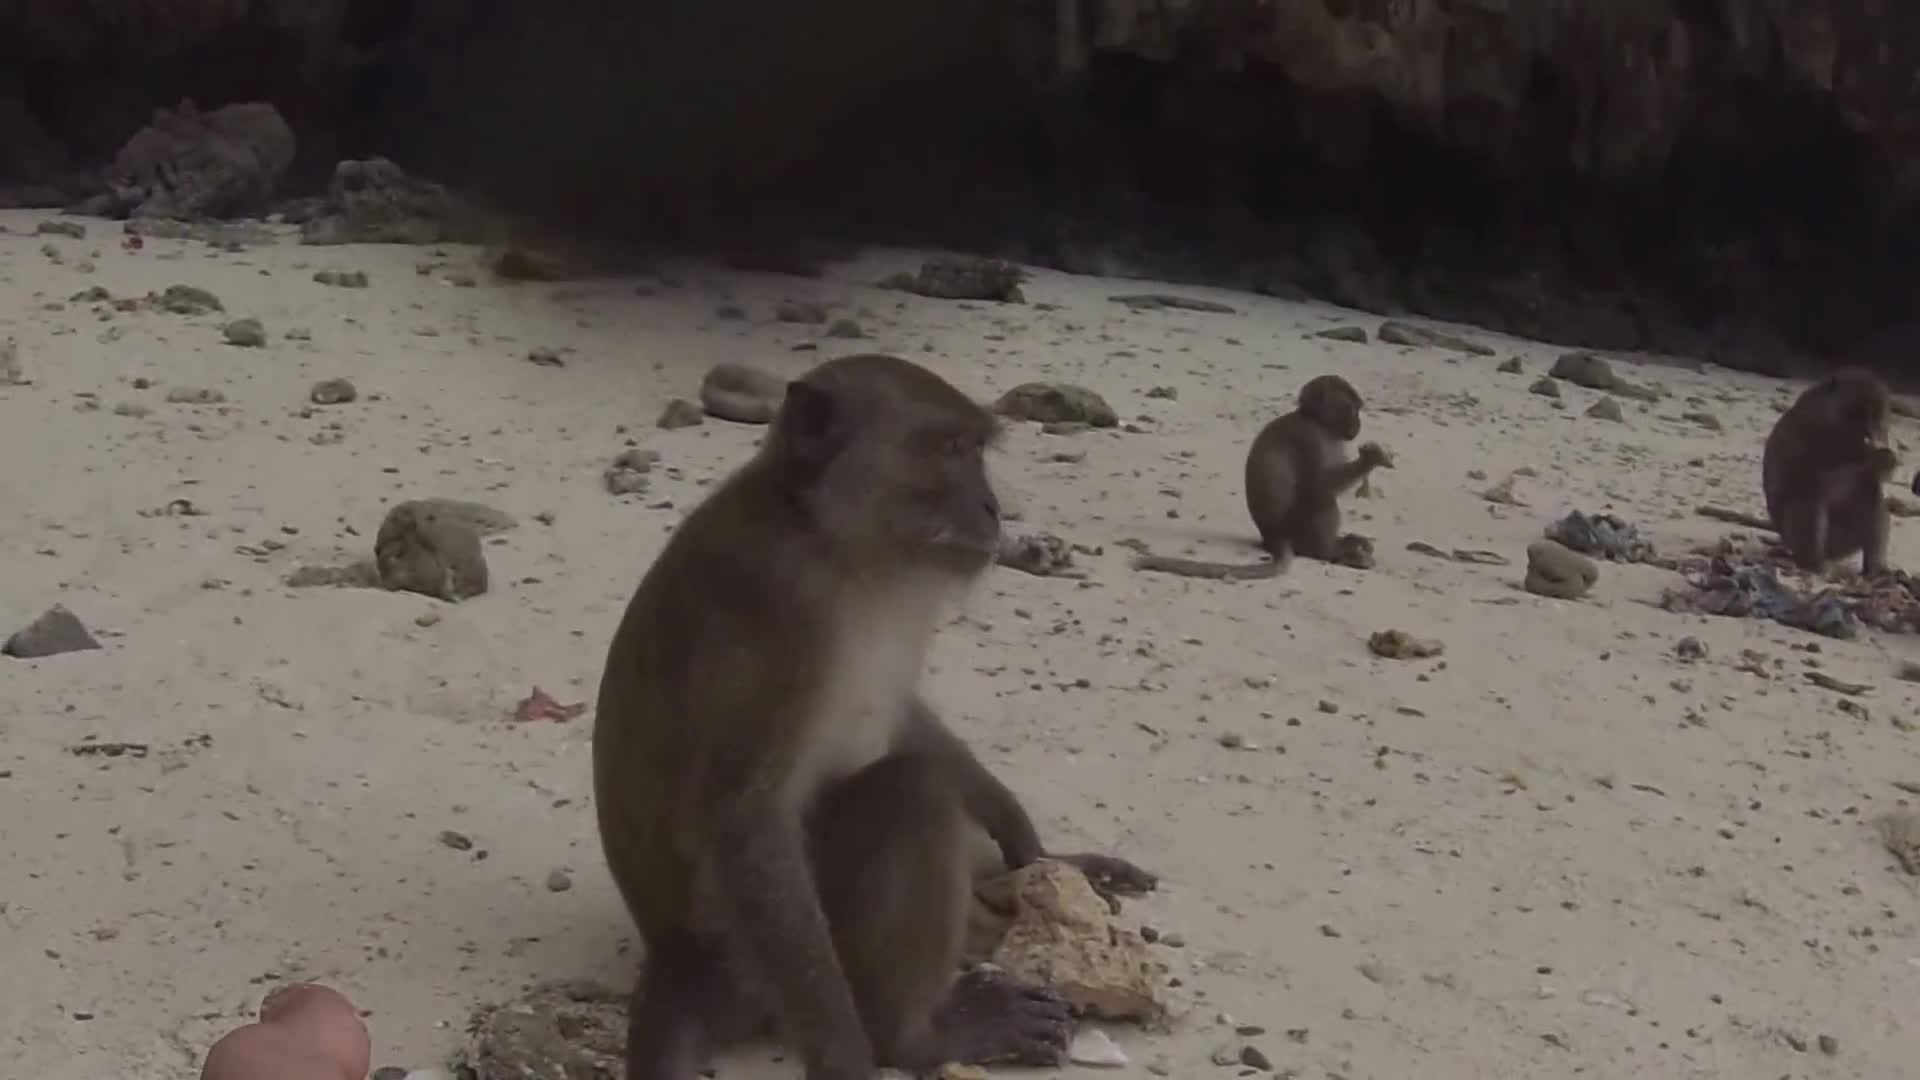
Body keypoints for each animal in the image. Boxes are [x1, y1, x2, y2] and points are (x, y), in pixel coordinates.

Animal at [594, 352, 1158, 1080]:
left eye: (975, 449)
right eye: (948, 449)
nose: (992, 507)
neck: (839, 546)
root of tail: (675, 958)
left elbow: (902, 715)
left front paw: (1033, 848)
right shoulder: (782, 607)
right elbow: (745, 821)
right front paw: (847, 1057)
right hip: (745, 968)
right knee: (911, 792)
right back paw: (915, 1037)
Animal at [1133, 373, 1392, 580]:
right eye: (1351, 408)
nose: (1357, 423)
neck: (1317, 421)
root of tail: (1273, 537)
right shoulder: (1309, 438)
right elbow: (1318, 485)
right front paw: (1369, 460)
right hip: (1296, 528)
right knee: (1319, 498)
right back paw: (1329, 551)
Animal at [1760, 367, 1899, 576]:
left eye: (1875, 416)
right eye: (1855, 414)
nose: (1868, 433)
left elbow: (1874, 476)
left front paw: (1884, 458)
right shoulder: (1809, 429)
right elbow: (1807, 466)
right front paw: (1871, 454)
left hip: (1844, 540)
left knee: (1872, 497)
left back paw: (1875, 569)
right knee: (1807, 500)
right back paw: (1814, 563)